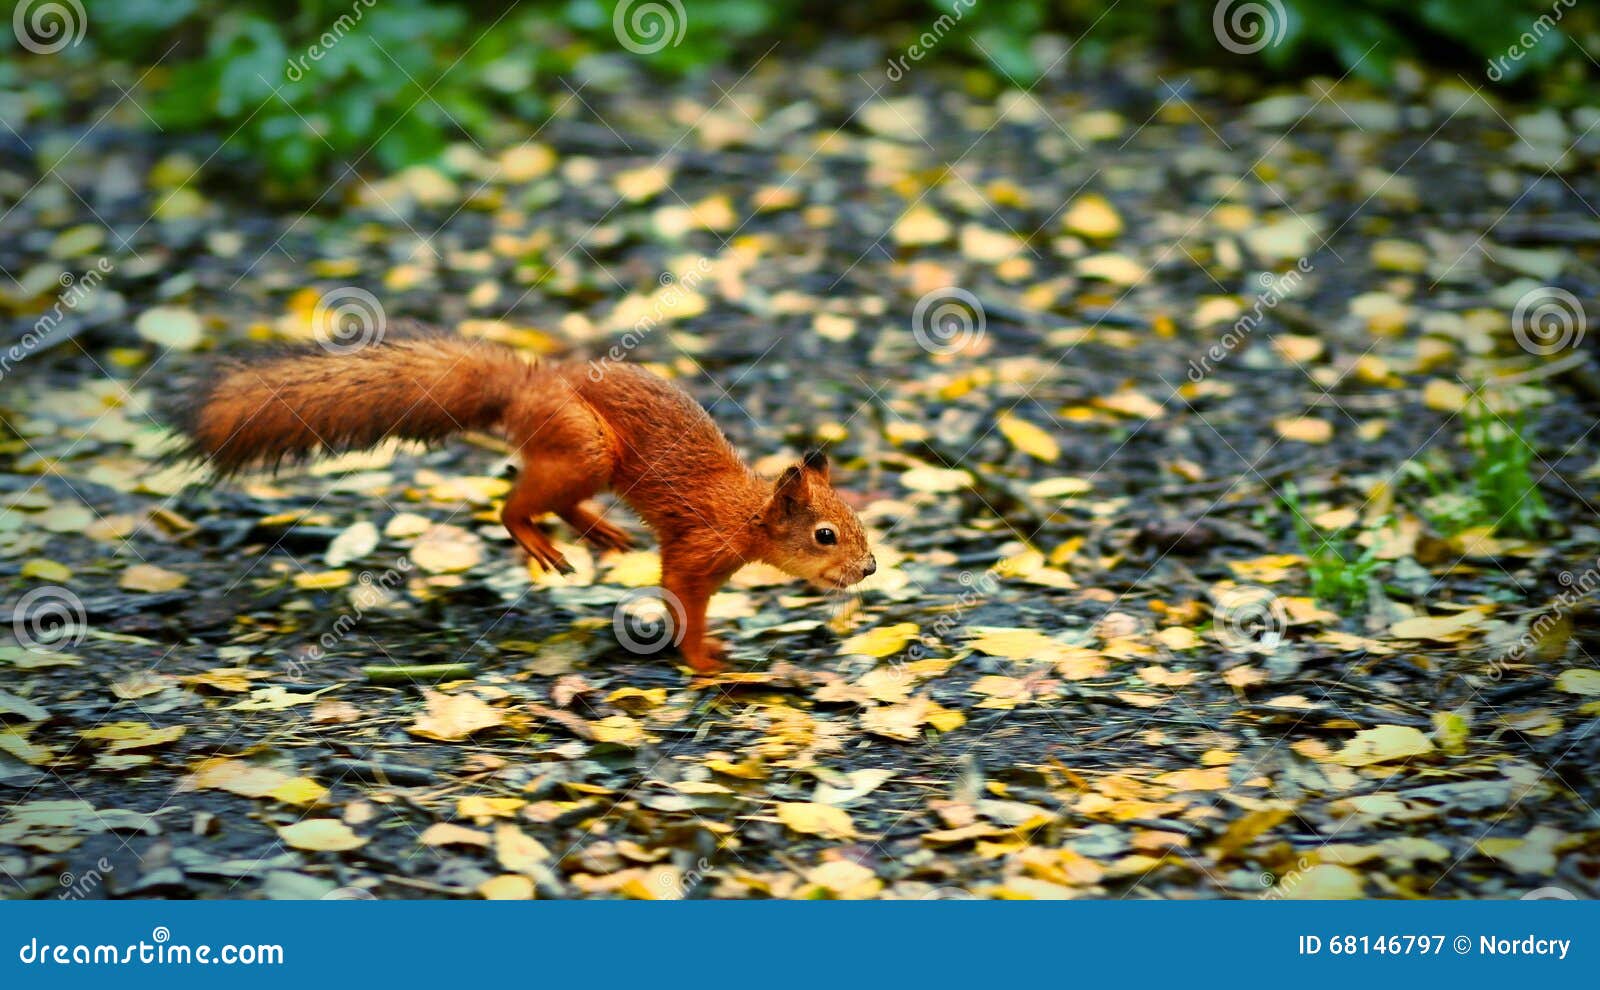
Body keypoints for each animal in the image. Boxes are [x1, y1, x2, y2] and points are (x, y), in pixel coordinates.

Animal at [170, 325, 876, 672]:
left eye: (857, 523)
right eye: (825, 535)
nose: (869, 568)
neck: (747, 511)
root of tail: (529, 385)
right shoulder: (695, 549)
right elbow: (682, 599)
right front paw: (702, 658)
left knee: (555, 499)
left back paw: (597, 531)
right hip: (586, 446)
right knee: (513, 505)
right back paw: (536, 538)